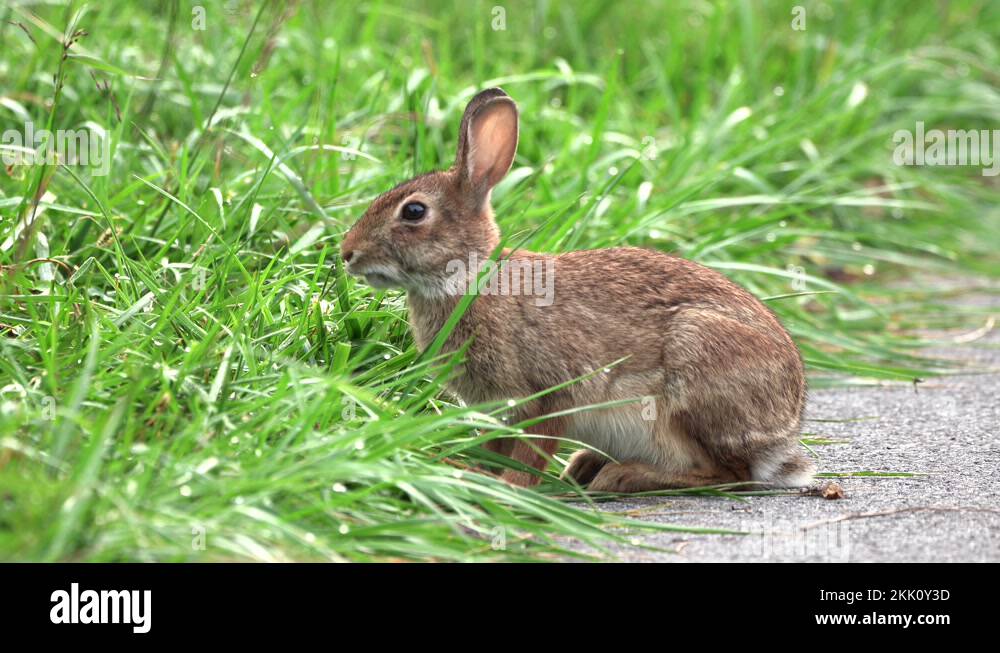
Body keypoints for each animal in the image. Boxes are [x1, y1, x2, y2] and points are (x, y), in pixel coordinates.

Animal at [340, 87, 814, 492]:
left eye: (414, 212)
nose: (347, 253)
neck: (470, 278)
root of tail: (784, 428)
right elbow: (497, 446)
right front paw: (474, 469)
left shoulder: (549, 394)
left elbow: (532, 451)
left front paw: (506, 486)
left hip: (693, 369)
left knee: (729, 473)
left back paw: (625, 476)